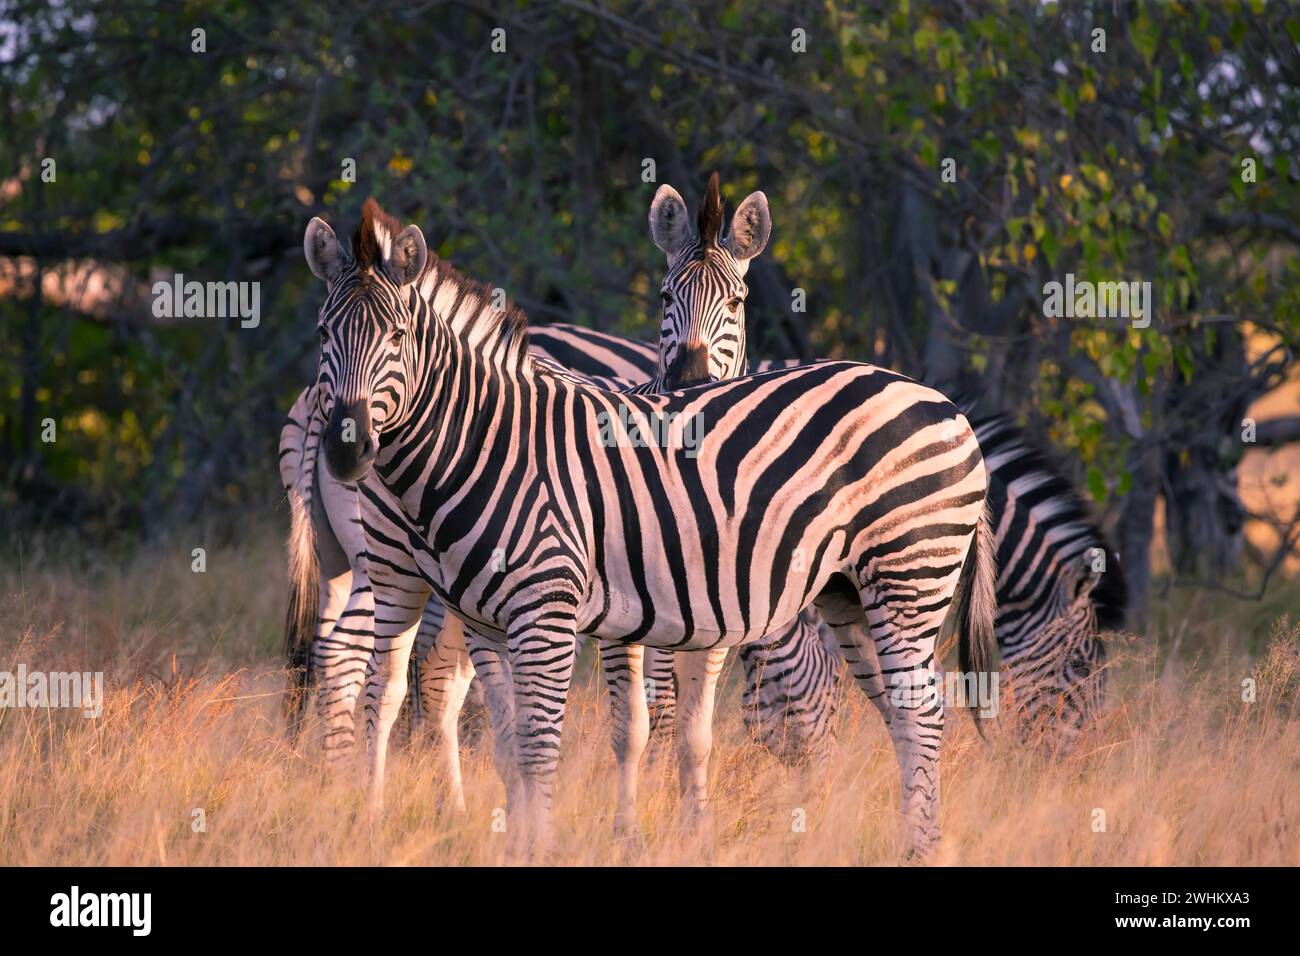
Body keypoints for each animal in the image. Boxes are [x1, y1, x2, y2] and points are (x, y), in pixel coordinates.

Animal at [295, 198, 996, 858]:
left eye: (395, 337)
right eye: (324, 331)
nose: (347, 451)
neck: (489, 444)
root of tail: (944, 404)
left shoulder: (551, 612)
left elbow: (545, 742)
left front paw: (547, 848)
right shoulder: (487, 621)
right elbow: (513, 741)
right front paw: (523, 845)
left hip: (908, 574)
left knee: (922, 710)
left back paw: (921, 847)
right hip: (851, 592)